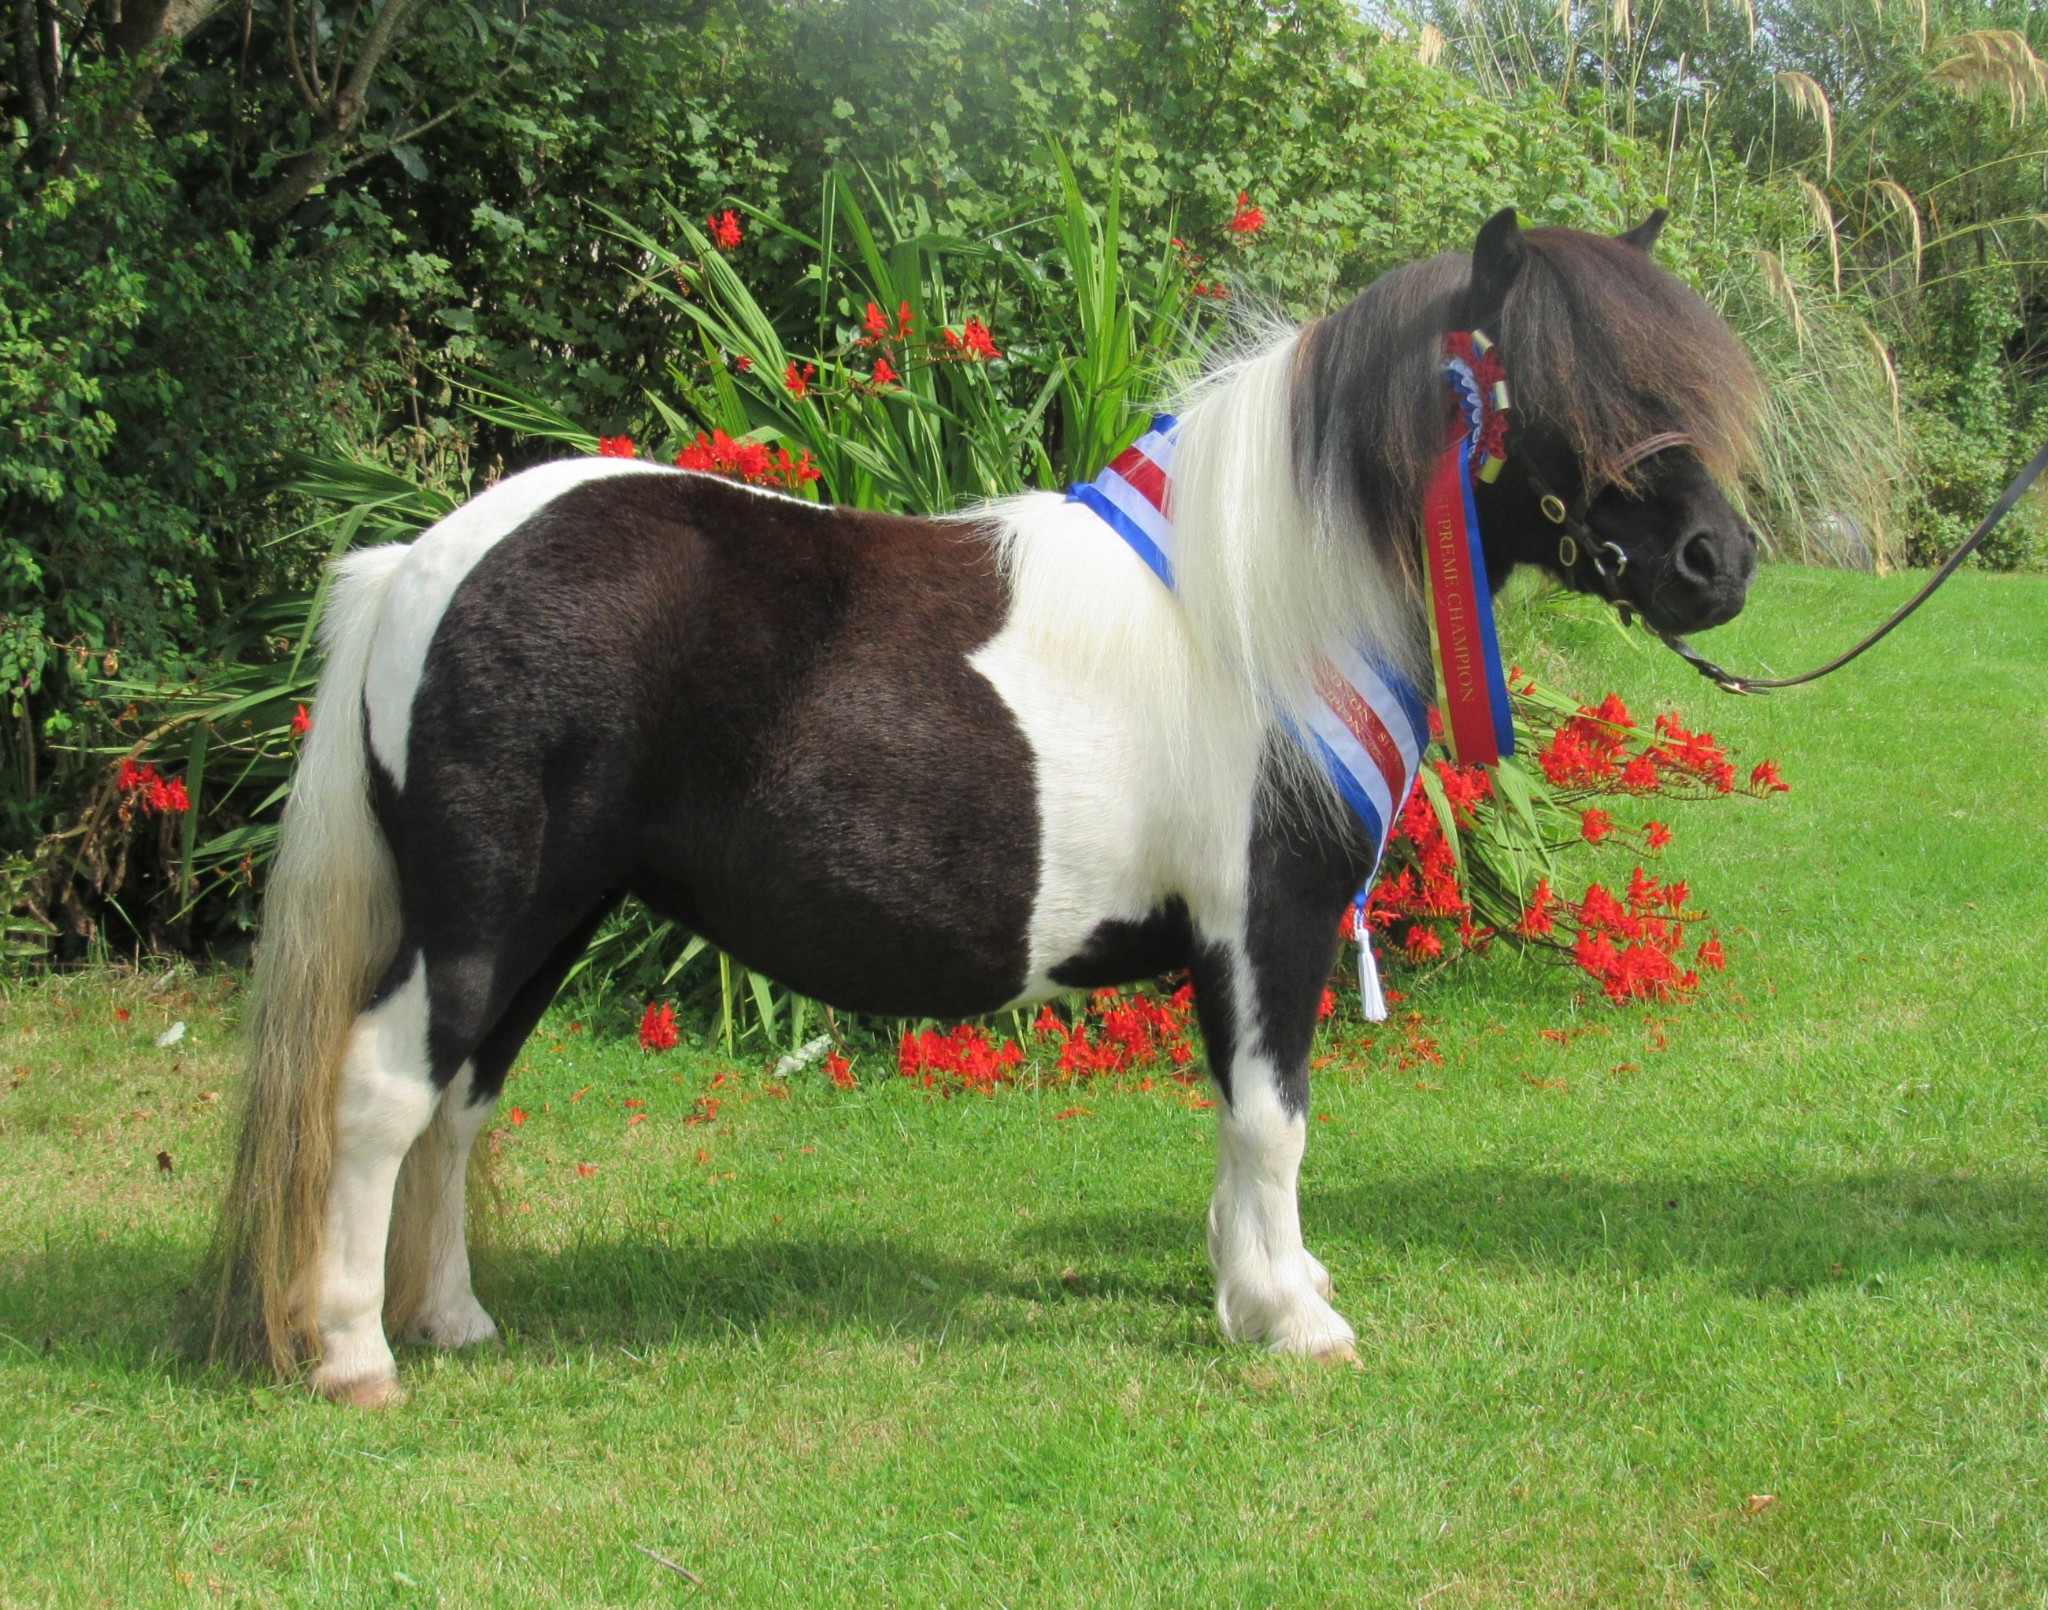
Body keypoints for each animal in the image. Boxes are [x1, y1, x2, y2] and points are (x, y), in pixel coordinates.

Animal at [208, 206, 1762, 1406]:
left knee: (461, 1101)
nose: (1720, 559)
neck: (1257, 606)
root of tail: (426, 561)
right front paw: (1297, 1318)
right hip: (480, 914)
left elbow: (1236, 1117)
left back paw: (451, 1317)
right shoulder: (1273, 923)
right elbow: (1273, 1116)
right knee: (382, 1090)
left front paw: (1251, 1285)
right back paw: (357, 1354)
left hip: (550, 914)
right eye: (1568, 391)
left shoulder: (1229, 944)